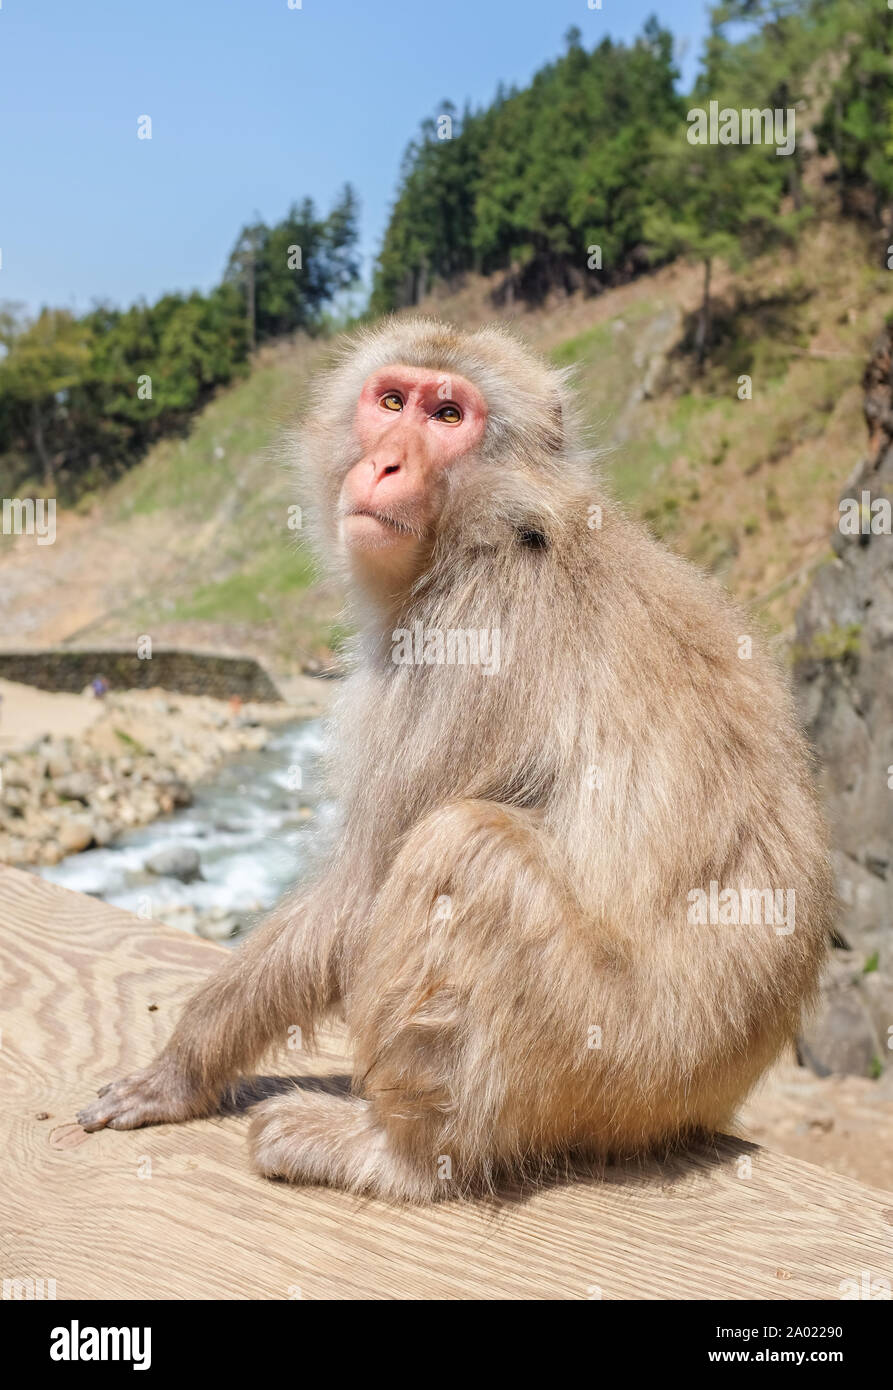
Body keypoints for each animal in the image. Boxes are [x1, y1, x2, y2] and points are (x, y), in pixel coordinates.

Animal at [78, 316, 833, 1202]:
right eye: (391, 402)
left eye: (447, 416)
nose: (386, 462)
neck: (494, 533)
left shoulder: (469, 640)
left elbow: (363, 887)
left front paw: (182, 1068)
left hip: (618, 1062)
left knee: (463, 850)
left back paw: (400, 1153)